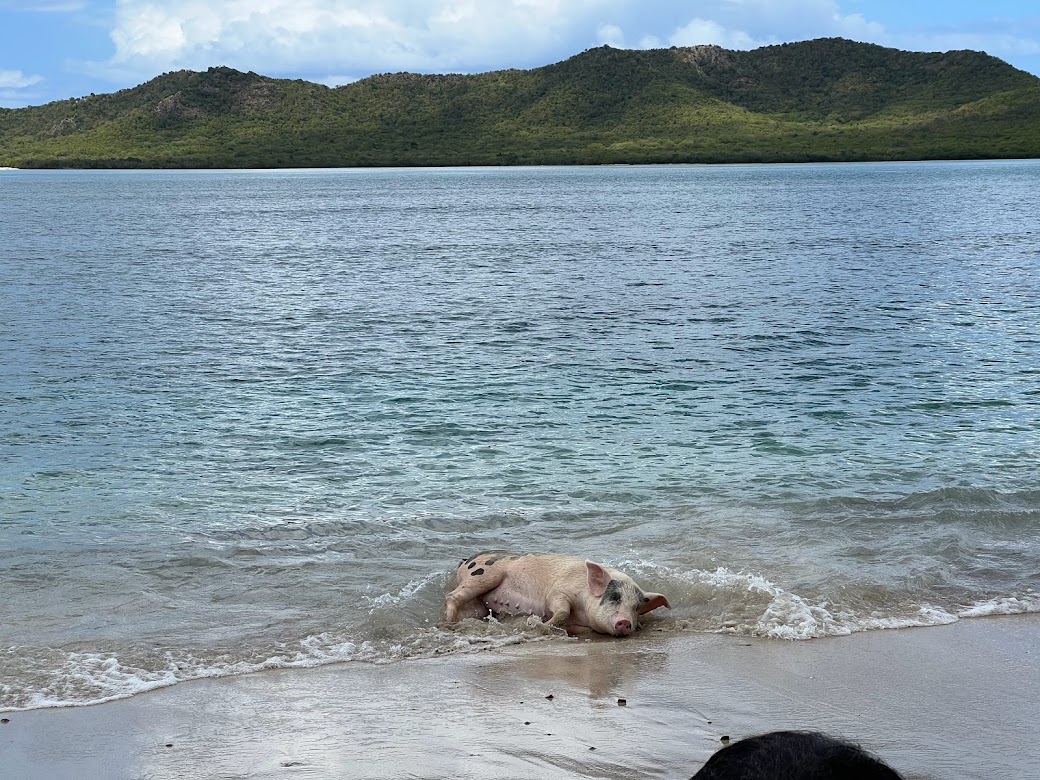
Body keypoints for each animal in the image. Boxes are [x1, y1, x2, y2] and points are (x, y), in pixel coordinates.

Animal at [444, 551, 671, 637]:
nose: (625, 622)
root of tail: (465, 560)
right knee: (452, 597)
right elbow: (561, 610)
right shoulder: (558, 591)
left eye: (637, 607)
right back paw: (449, 623)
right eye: (615, 597)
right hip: (483, 575)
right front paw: (538, 624)